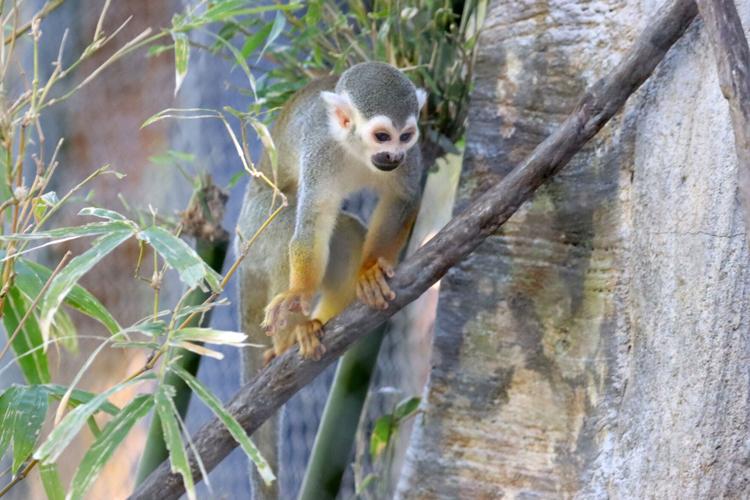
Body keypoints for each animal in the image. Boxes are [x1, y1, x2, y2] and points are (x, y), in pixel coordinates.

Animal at [237, 61, 425, 499]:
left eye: (405, 135)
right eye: (382, 135)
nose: (393, 154)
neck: (358, 152)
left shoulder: (413, 158)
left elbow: (402, 199)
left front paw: (371, 270)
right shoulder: (320, 154)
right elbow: (311, 223)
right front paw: (298, 293)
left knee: (347, 230)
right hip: (255, 225)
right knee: (287, 220)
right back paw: (292, 335)